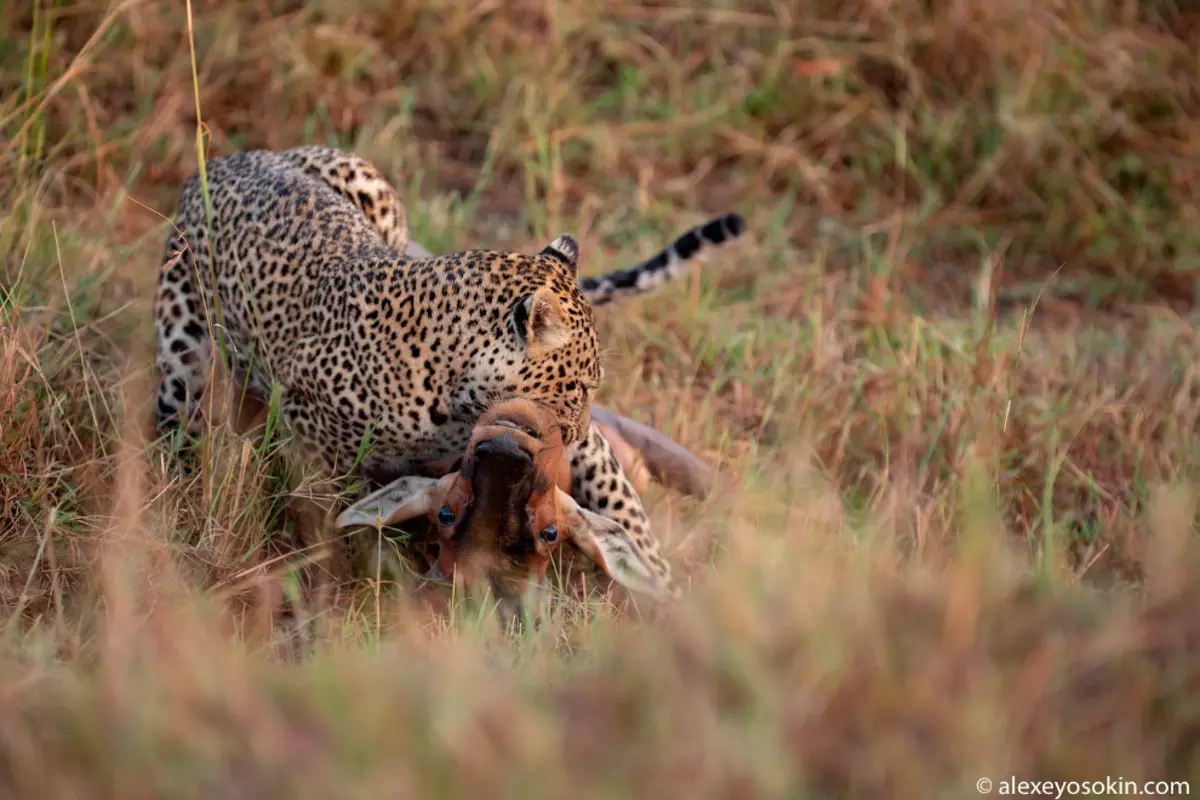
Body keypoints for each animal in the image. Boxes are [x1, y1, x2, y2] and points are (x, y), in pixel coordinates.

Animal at [154, 143, 744, 597]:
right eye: (579, 384)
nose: (578, 431)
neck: (456, 402)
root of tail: (230, 158)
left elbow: (624, 507)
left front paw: (660, 579)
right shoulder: (315, 443)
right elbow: (340, 518)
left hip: (372, 188)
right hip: (182, 347)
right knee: (176, 420)